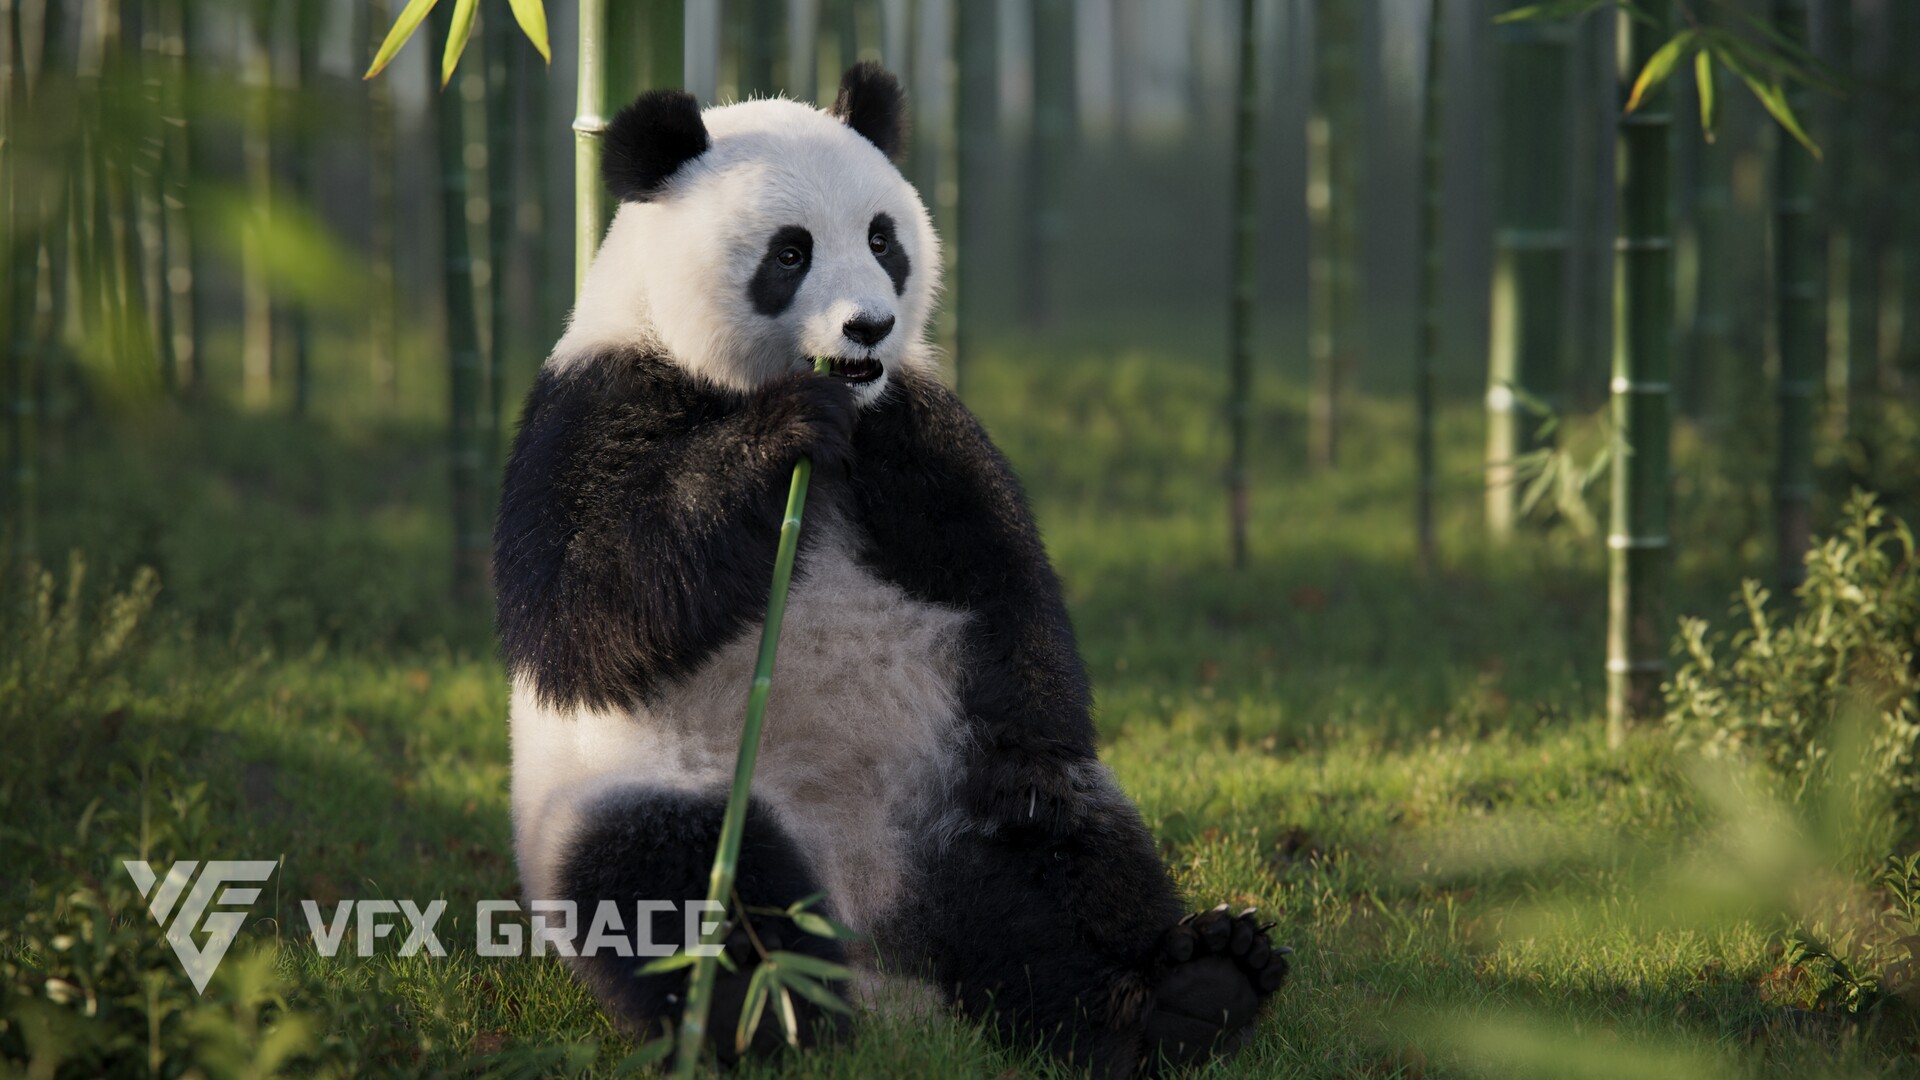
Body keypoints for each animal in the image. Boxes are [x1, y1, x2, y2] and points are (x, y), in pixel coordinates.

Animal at [493, 63, 1288, 1075]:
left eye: (883, 239)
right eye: (789, 253)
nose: (867, 327)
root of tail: (885, 967)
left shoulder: (920, 433)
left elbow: (1009, 591)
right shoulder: (593, 403)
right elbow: (586, 606)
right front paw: (777, 438)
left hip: (954, 779)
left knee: (1058, 856)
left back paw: (1187, 992)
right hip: (653, 790)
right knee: (670, 881)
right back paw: (768, 1020)